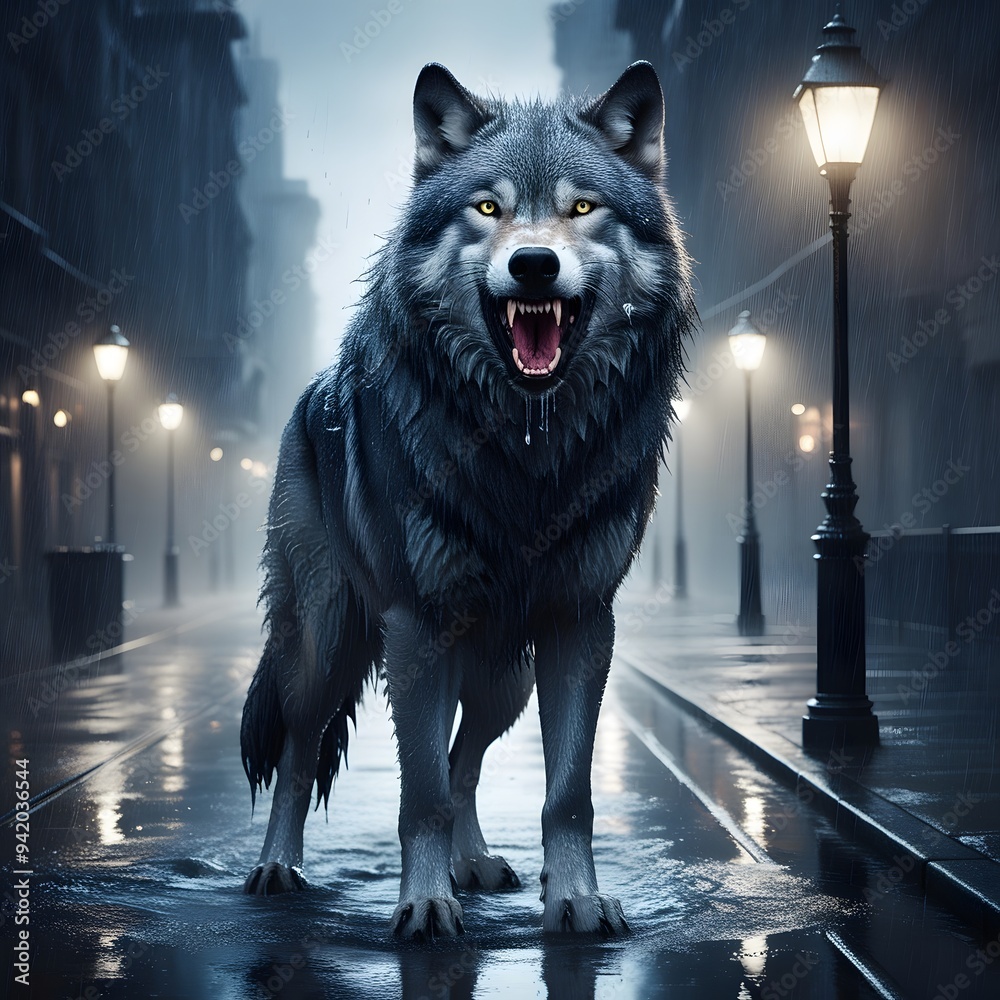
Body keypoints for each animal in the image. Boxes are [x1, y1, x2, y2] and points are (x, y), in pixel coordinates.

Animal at [240, 60, 695, 939]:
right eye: (487, 208)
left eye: (581, 208)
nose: (533, 265)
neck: (523, 457)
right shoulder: (419, 629)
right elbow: (417, 793)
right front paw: (422, 906)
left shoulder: (579, 624)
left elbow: (565, 794)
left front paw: (576, 901)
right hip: (325, 643)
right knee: (301, 751)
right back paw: (279, 869)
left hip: (502, 680)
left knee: (464, 760)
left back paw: (473, 864)